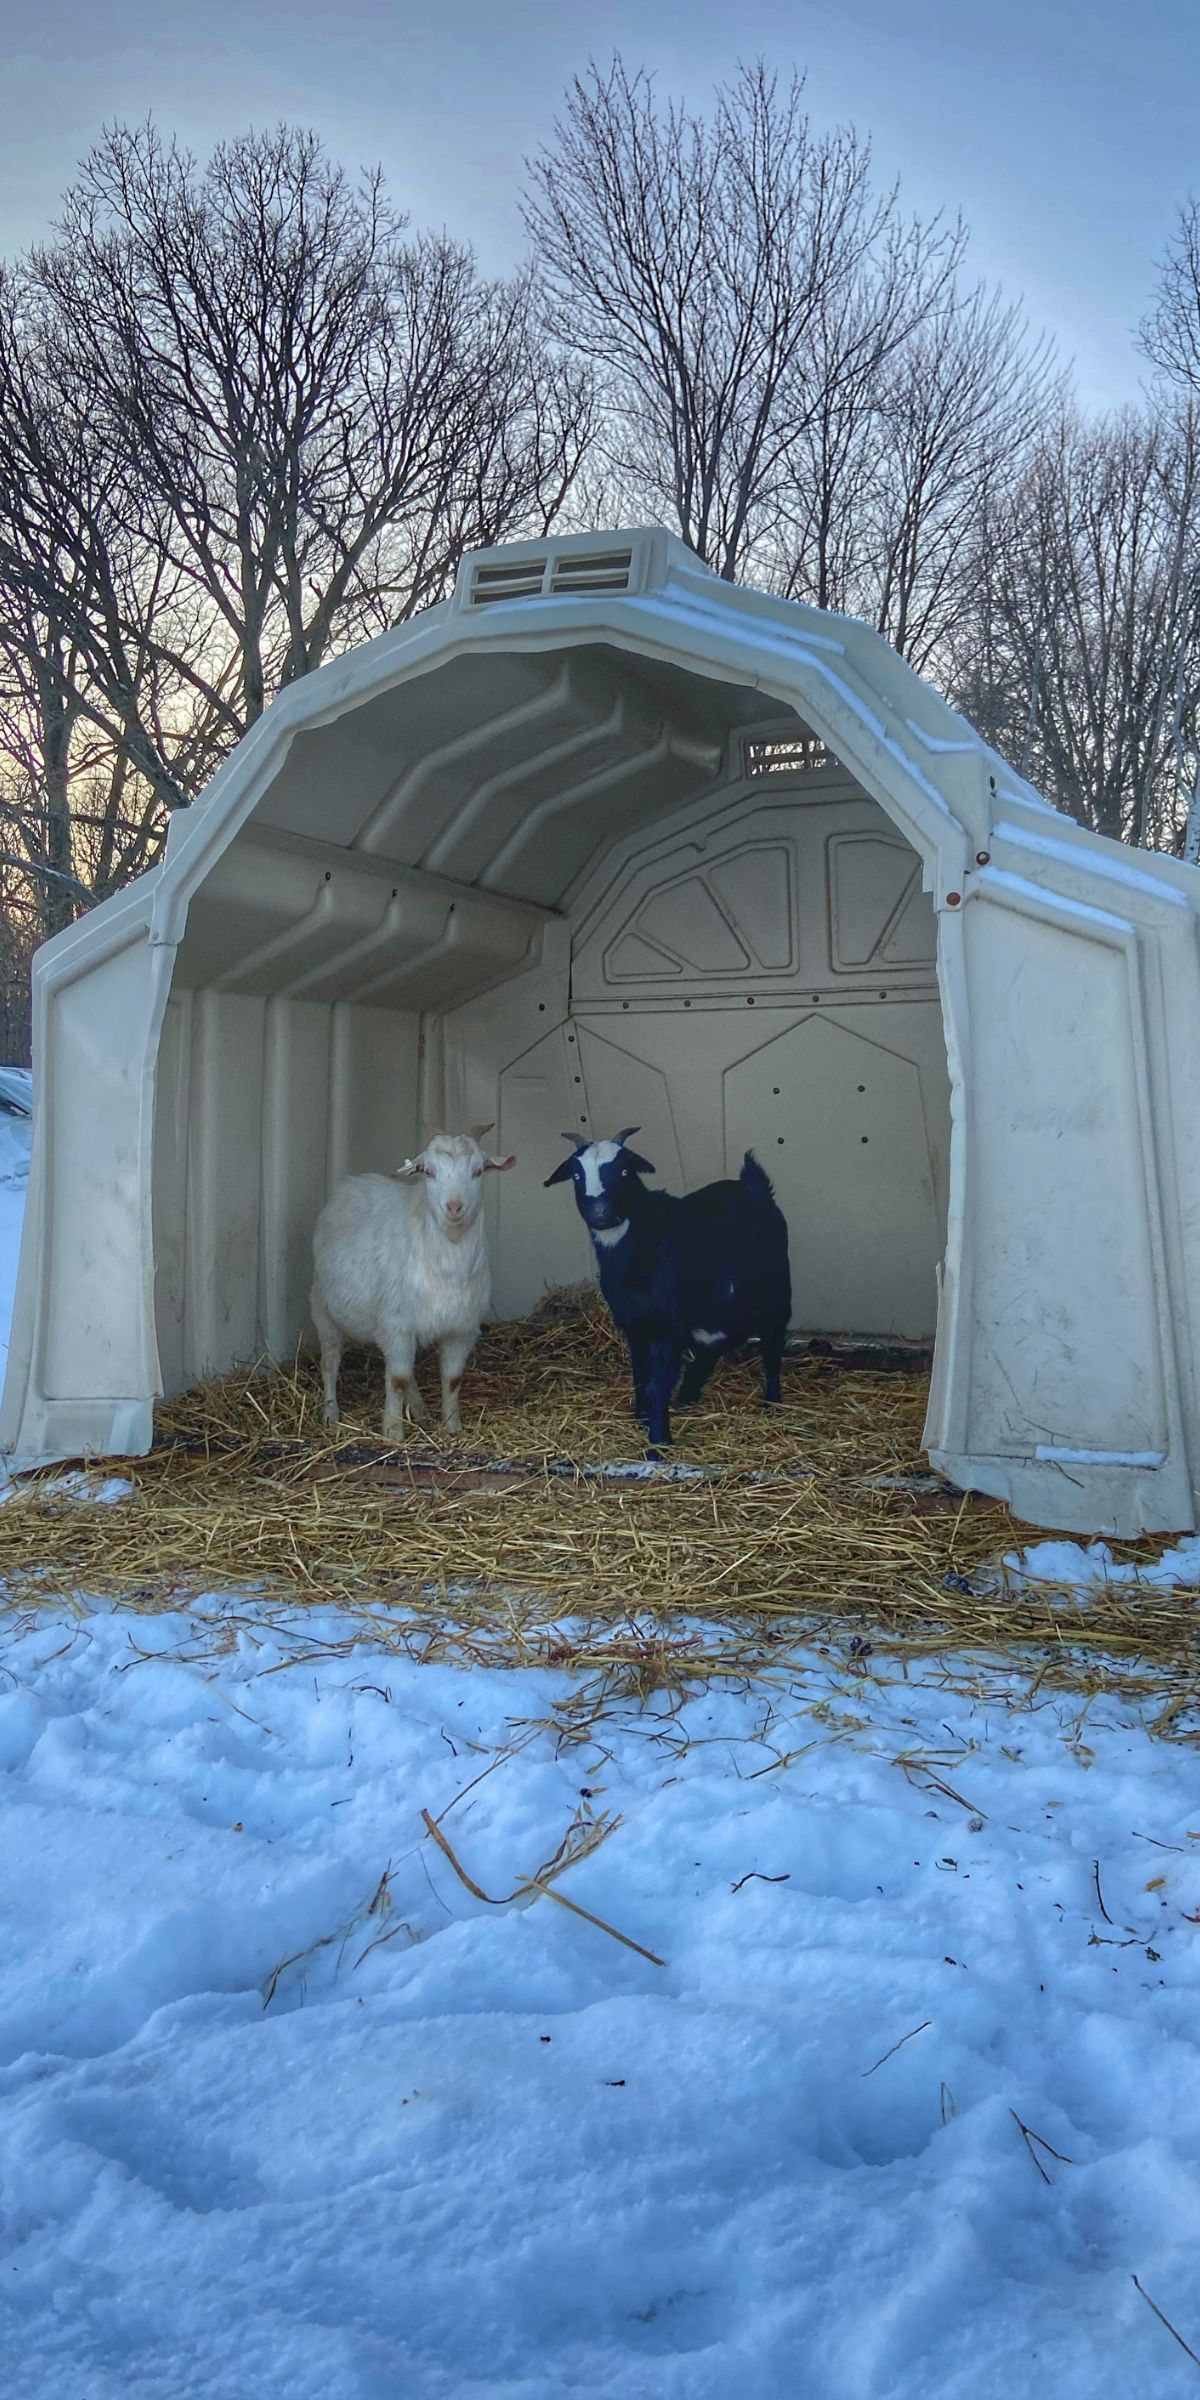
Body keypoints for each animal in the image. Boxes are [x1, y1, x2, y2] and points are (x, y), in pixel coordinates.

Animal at [311, 1126, 515, 1438]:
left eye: (479, 1170)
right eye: (428, 1171)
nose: (454, 1207)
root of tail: (353, 1182)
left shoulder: (461, 1329)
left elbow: (452, 1379)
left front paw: (452, 1427)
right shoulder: (397, 1325)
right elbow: (397, 1379)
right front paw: (393, 1434)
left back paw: (419, 1410)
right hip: (323, 1311)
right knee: (330, 1362)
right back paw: (330, 1414)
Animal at [545, 1129, 791, 1448]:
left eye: (625, 1171)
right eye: (576, 1174)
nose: (601, 1214)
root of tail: (753, 1184)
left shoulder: (666, 1327)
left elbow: (658, 1382)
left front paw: (658, 1440)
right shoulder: (634, 1324)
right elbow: (640, 1374)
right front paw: (642, 1415)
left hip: (774, 1286)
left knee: (772, 1337)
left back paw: (771, 1401)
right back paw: (689, 1393)